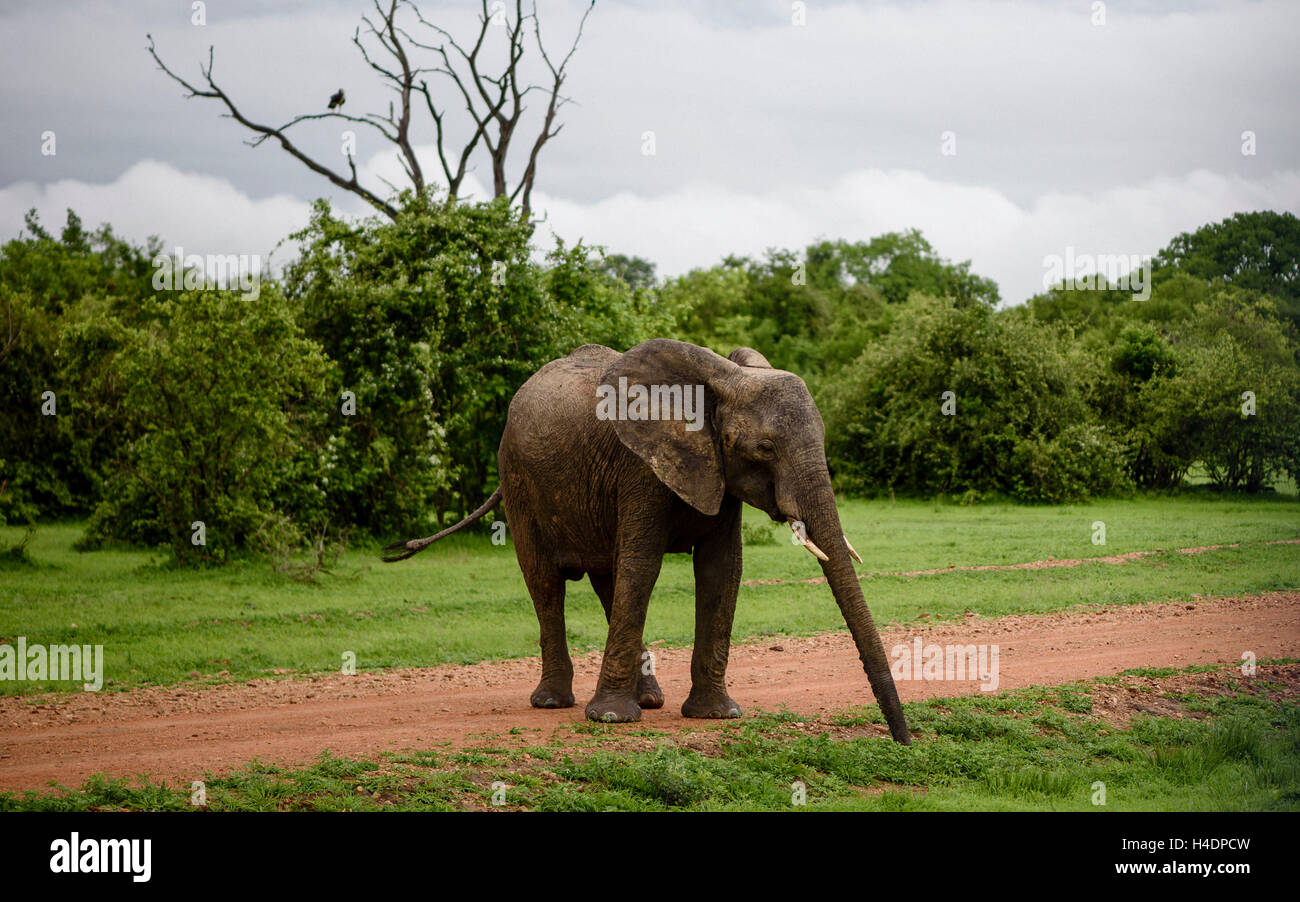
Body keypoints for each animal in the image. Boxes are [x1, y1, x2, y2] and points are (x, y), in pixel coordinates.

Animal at [384, 339, 911, 744]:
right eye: (763, 448)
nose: (903, 740)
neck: (719, 381)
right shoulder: (640, 468)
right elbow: (644, 565)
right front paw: (610, 719)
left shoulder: (715, 473)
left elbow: (721, 570)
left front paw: (716, 715)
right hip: (516, 477)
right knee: (546, 583)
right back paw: (554, 702)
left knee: (608, 580)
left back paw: (650, 699)